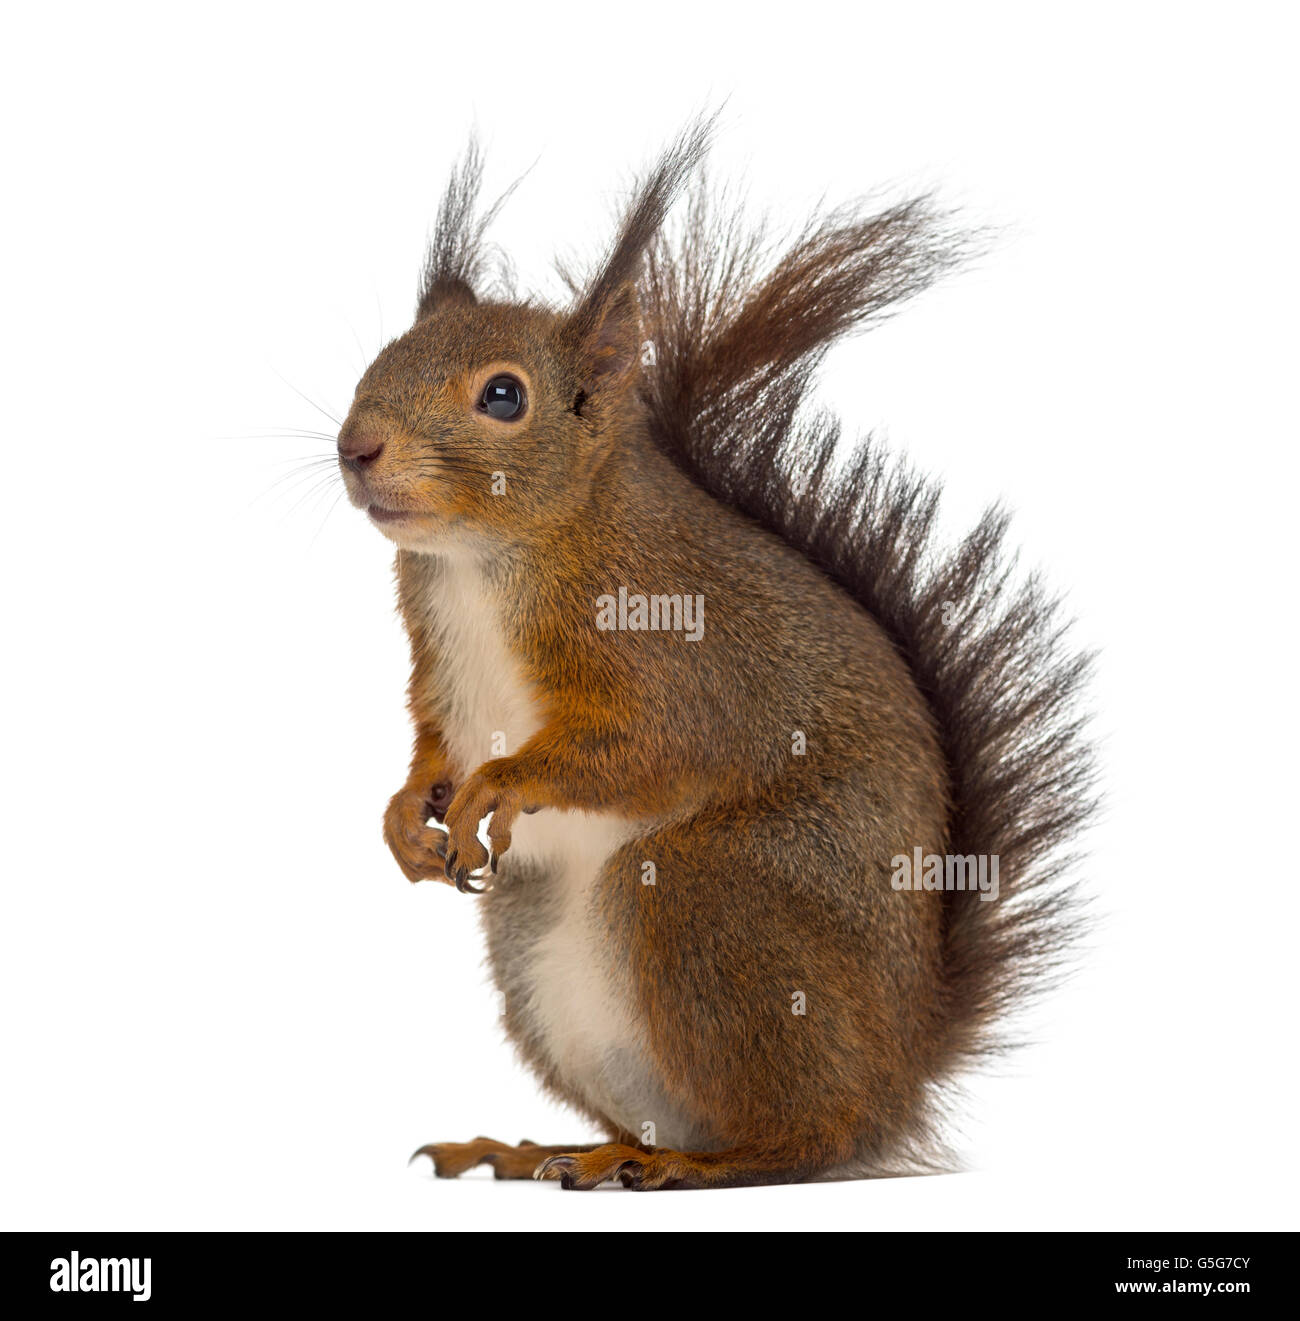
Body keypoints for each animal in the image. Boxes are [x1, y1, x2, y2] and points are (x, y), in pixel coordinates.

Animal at [334, 118, 1095, 1190]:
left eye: (503, 396)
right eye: (381, 357)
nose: (356, 446)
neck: (488, 561)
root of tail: (903, 1073)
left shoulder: (679, 657)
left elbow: (647, 748)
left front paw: (502, 783)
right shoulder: (439, 669)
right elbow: (434, 748)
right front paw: (407, 816)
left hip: (708, 898)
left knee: (808, 1136)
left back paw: (701, 1166)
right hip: (537, 948)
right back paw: (558, 1149)